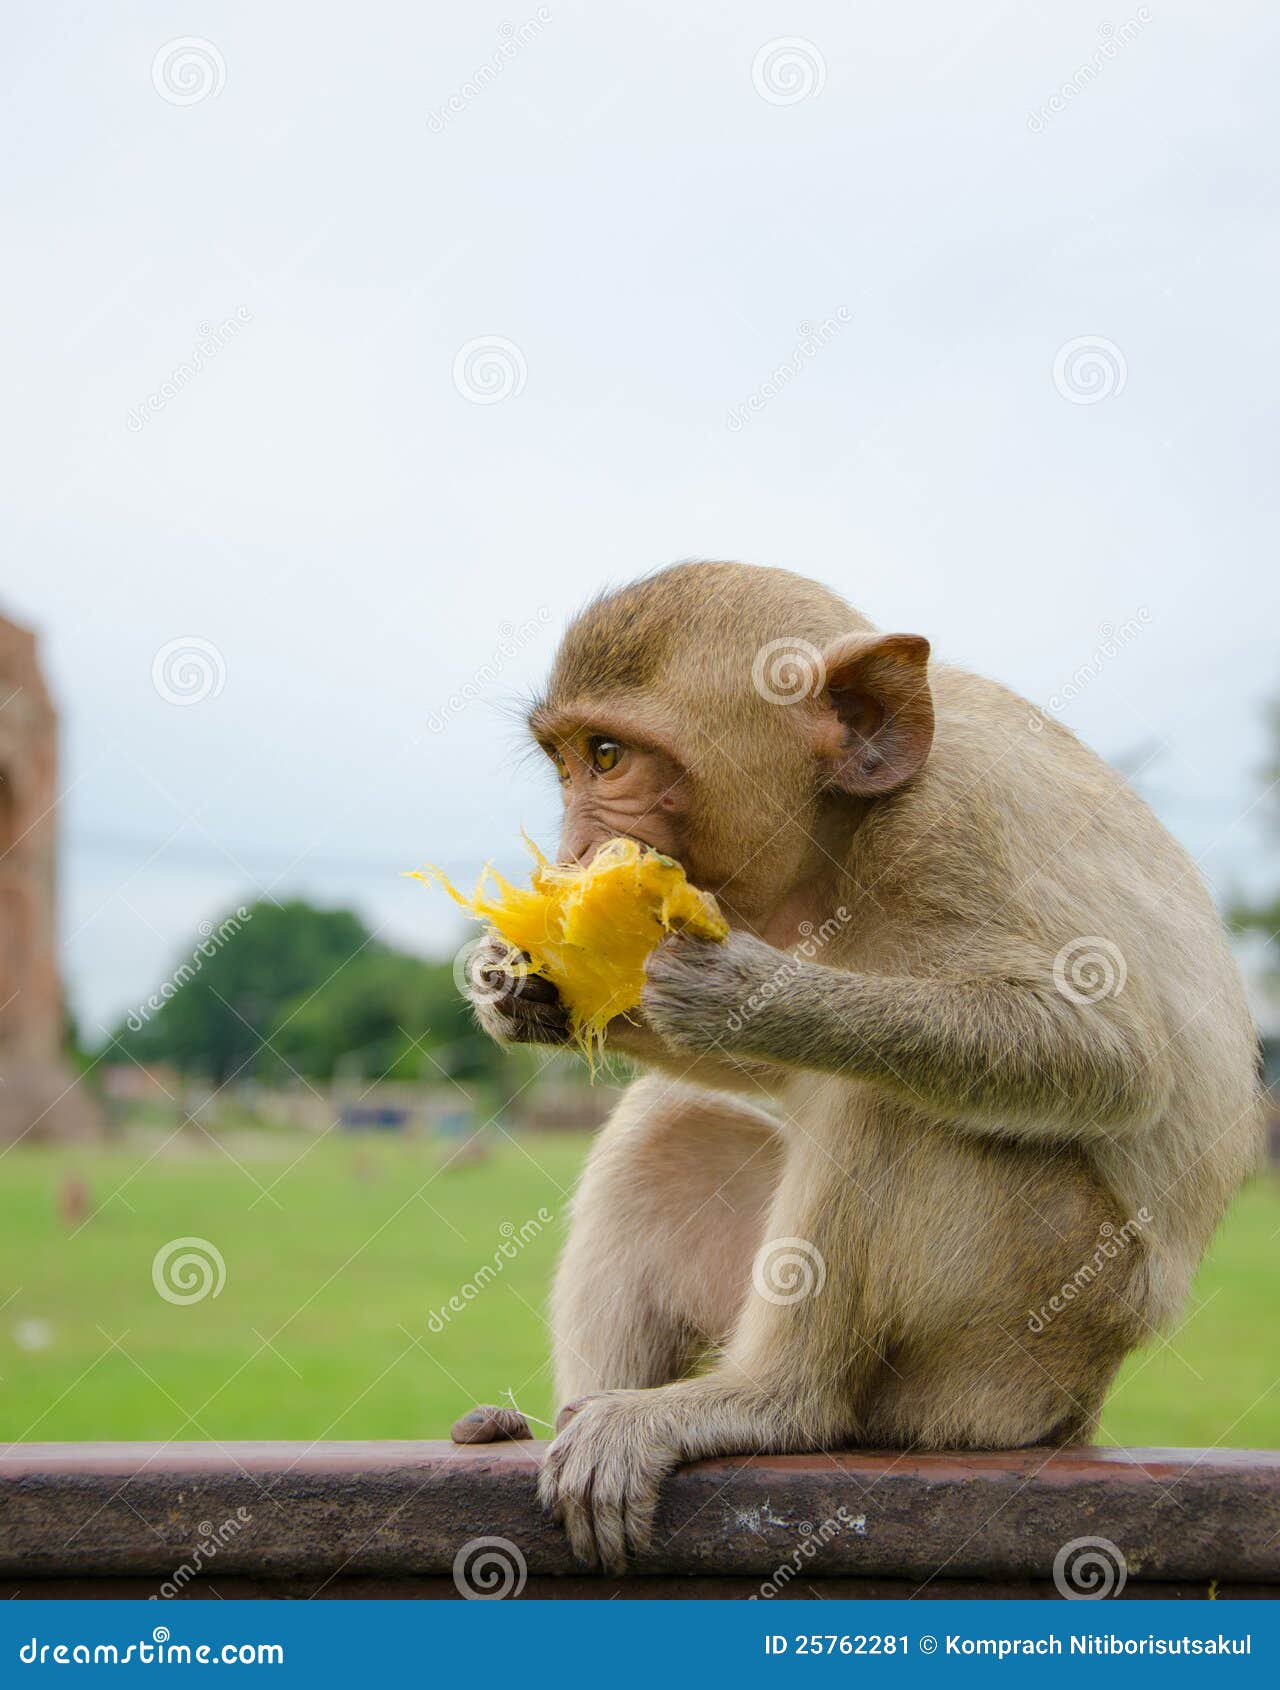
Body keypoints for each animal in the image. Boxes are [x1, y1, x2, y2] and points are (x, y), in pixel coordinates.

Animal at [453, 560, 1262, 1576]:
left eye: (607, 757)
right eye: (568, 761)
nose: (570, 853)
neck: (841, 831)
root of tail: (1079, 1406)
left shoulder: (949, 828)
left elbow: (1111, 1056)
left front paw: (751, 991)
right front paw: (518, 980)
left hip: (1026, 1337)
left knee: (892, 1107)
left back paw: (765, 1402)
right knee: (671, 1121)